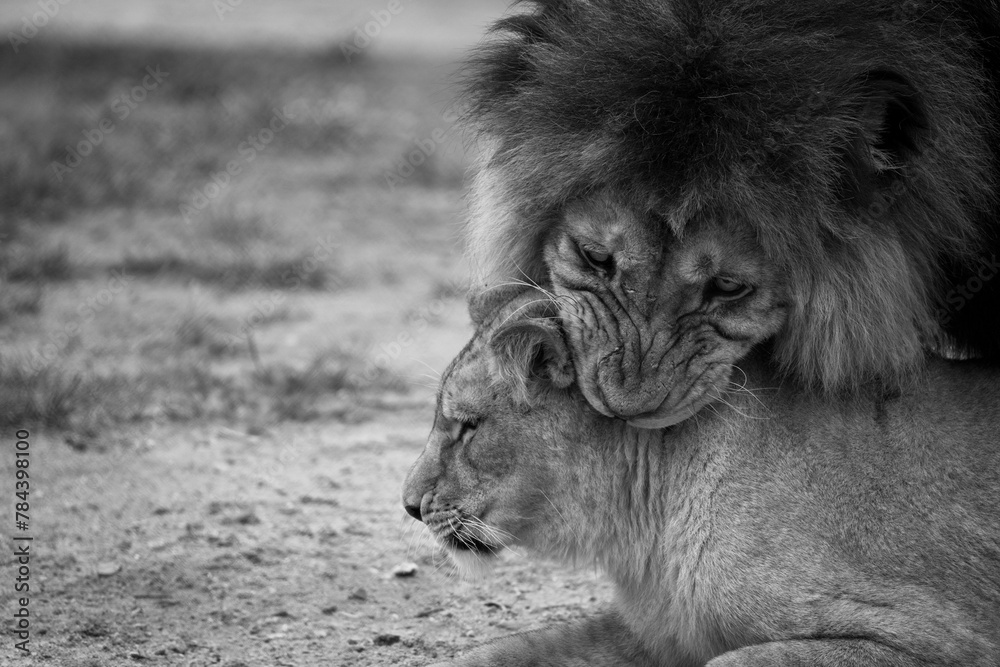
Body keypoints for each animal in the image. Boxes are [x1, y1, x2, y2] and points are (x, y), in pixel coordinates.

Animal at [402, 289, 1000, 666]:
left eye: (467, 426)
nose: (408, 506)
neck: (645, 523)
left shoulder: (932, 639)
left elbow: (736, 662)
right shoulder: (662, 633)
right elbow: (498, 651)